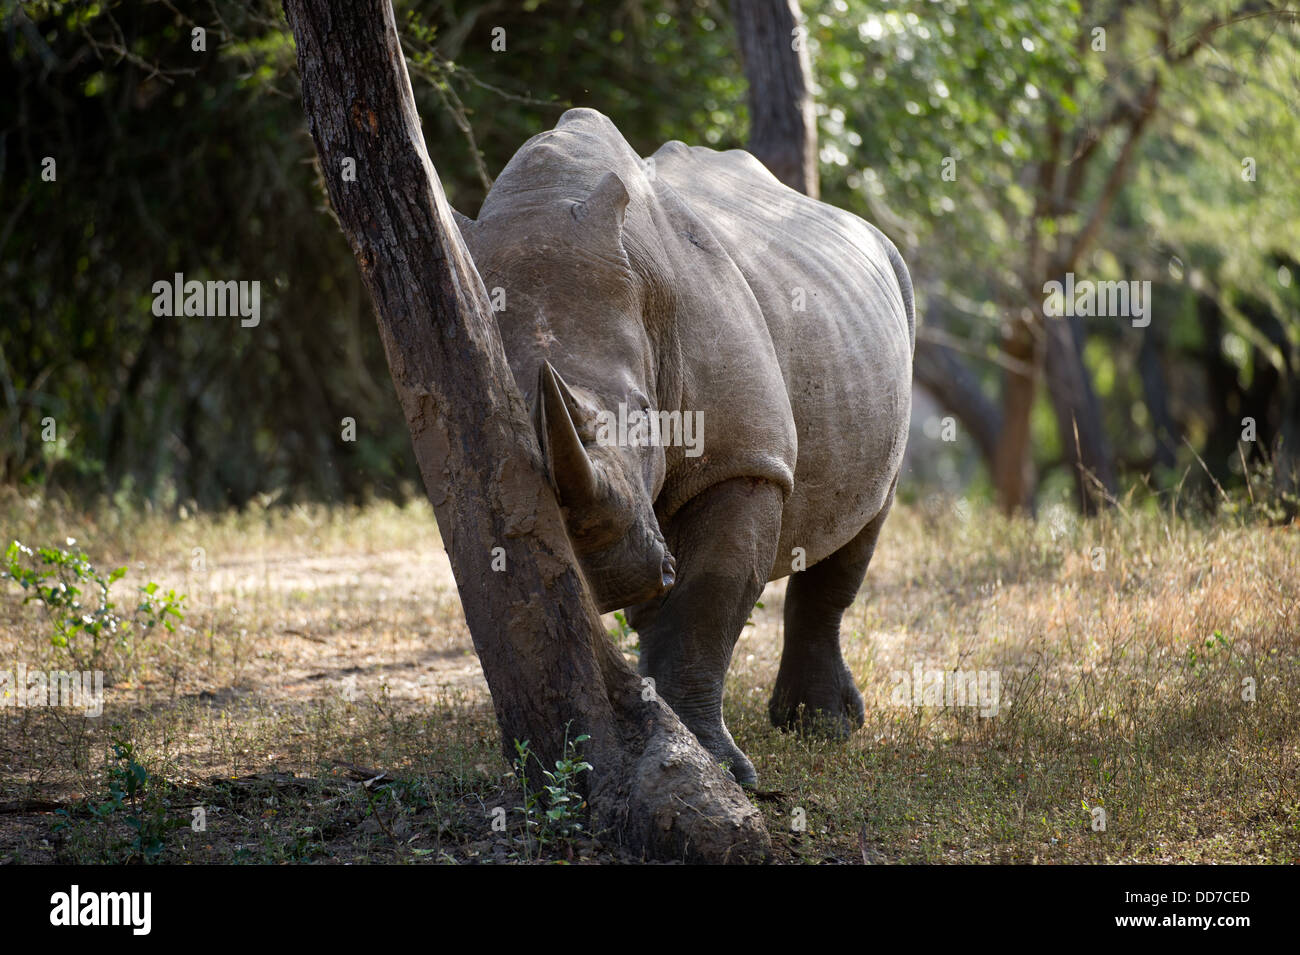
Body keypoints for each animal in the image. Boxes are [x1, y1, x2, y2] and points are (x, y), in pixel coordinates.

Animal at [455, 108, 913, 786]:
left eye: (649, 416)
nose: (611, 581)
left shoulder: (744, 461)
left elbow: (706, 602)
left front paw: (718, 772)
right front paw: (667, 743)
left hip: (896, 300)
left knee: (864, 519)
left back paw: (825, 730)